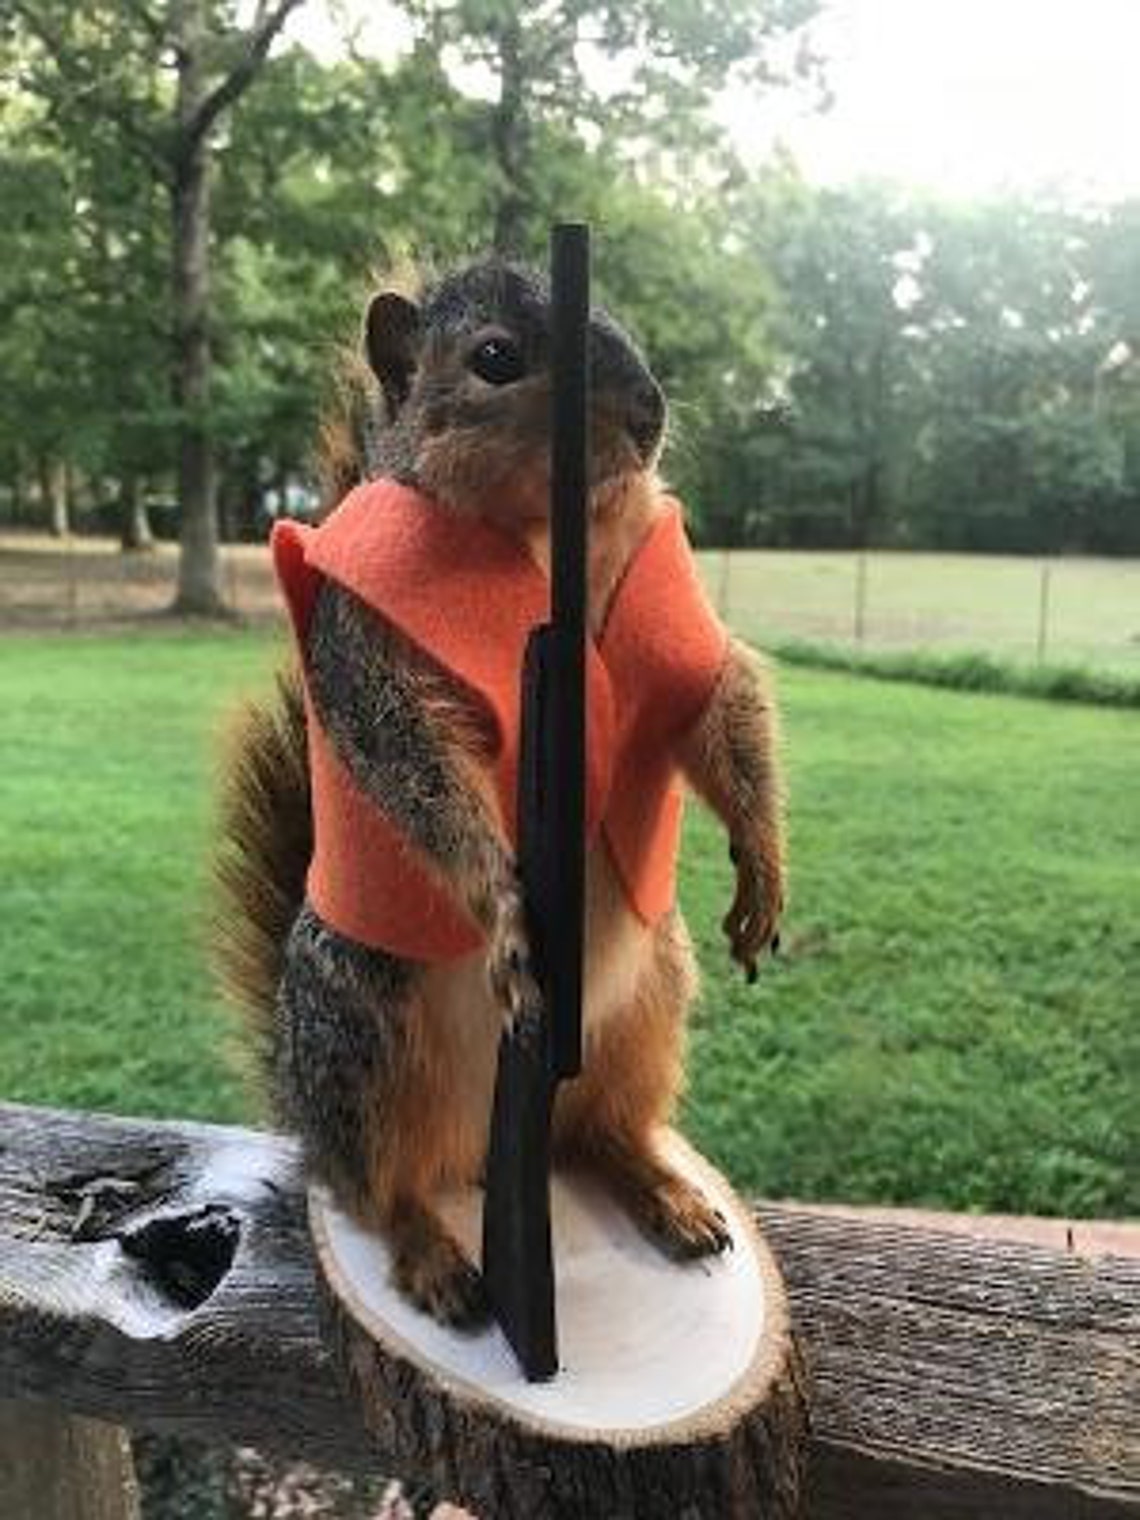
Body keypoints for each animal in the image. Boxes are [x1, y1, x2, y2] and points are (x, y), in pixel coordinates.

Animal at [214, 258, 785, 1331]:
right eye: (494, 359)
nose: (649, 413)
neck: (546, 538)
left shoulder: (669, 635)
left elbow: (720, 700)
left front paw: (764, 872)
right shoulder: (374, 660)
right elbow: (423, 780)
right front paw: (509, 915)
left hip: (649, 1005)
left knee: (602, 1134)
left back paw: (667, 1193)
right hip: (364, 1032)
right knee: (372, 1190)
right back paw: (434, 1257)